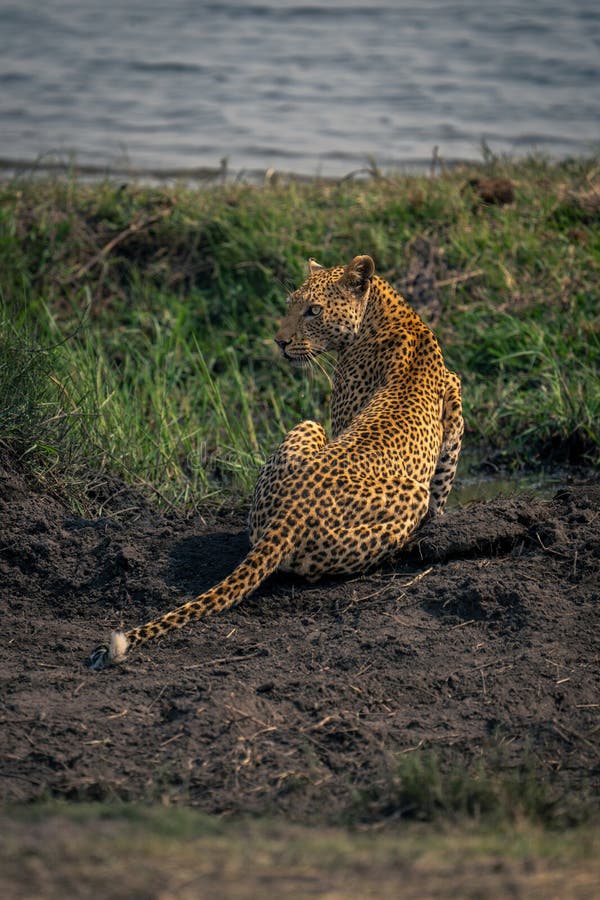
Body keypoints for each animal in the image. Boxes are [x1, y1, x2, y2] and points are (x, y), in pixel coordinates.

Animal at [88, 254, 463, 669]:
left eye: (313, 310)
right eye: (290, 306)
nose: (279, 342)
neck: (388, 312)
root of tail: (291, 511)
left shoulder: (450, 399)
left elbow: (445, 476)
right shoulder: (451, 404)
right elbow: (445, 476)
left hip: (317, 436)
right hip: (328, 438)